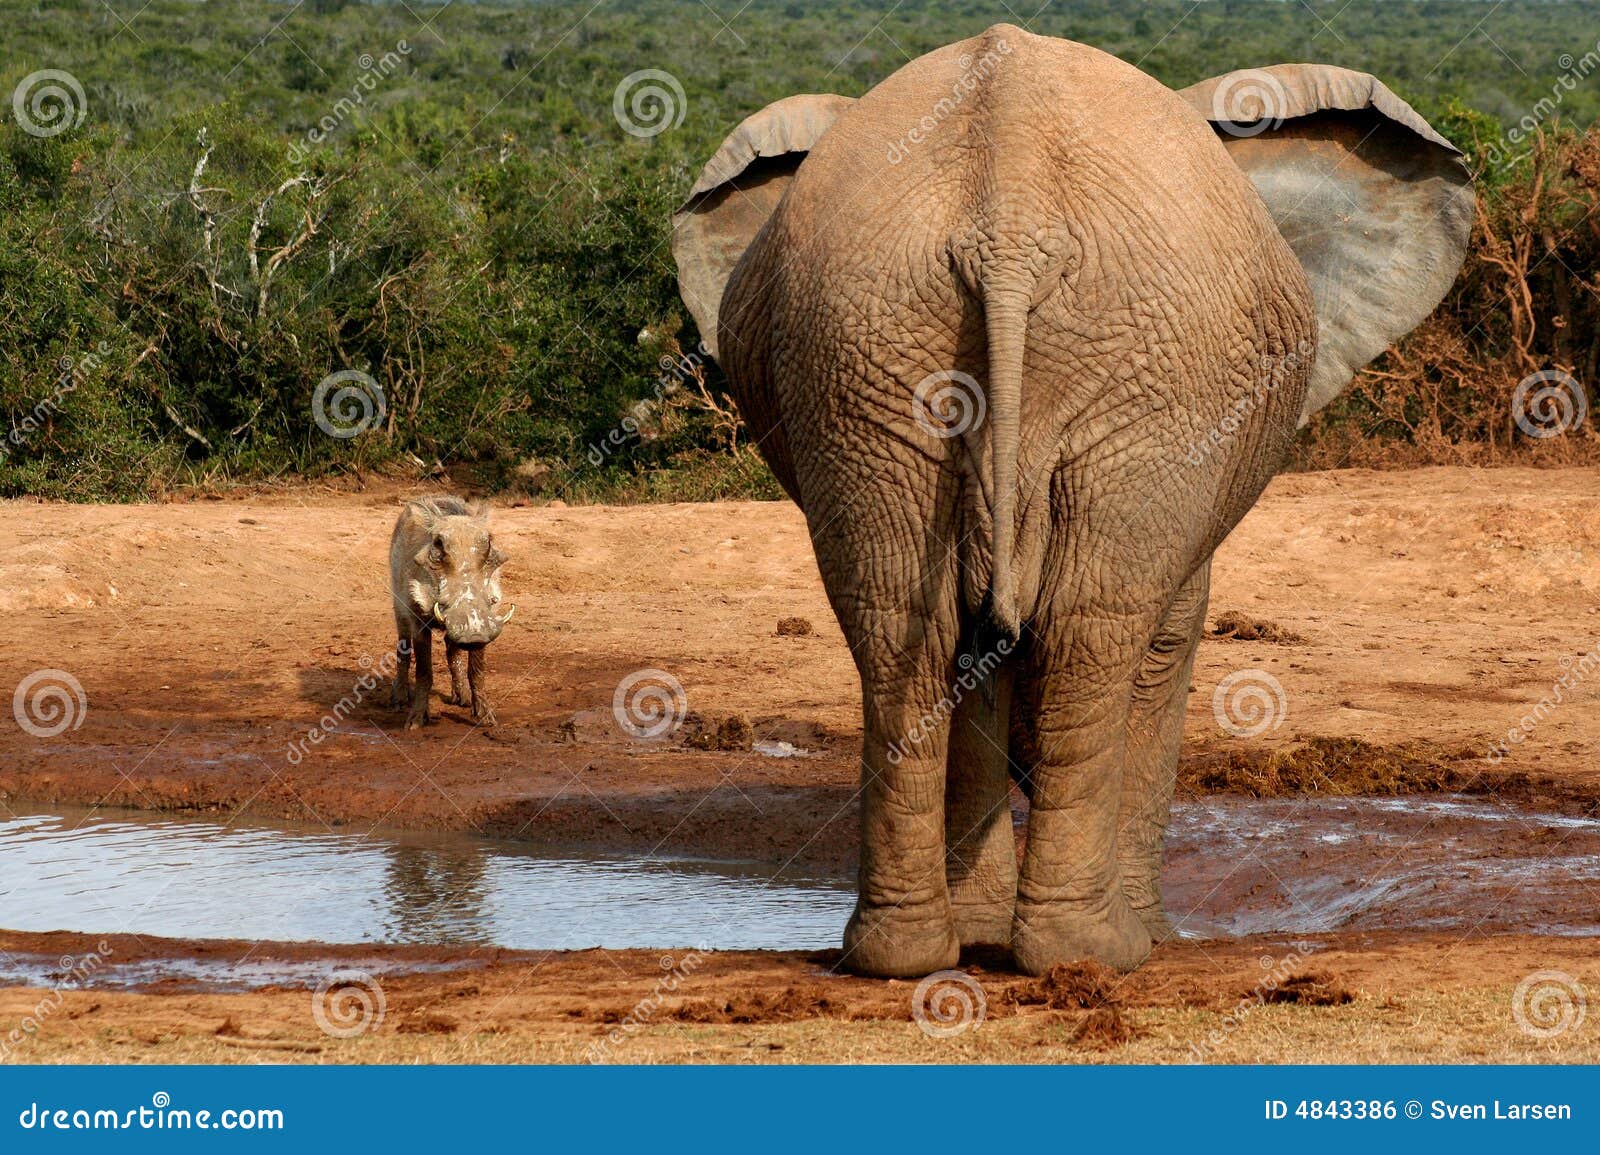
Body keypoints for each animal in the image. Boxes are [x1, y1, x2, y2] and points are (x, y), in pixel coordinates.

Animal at [670, 25, 1471, 977]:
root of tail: (1007, 221)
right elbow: (1164, 642)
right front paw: (1139, 936)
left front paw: (983, 932)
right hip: (1140, 381)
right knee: (1092, 629)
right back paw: (1093, 951)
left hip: (864, 355)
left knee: (910, 626)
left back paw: (907, 954)